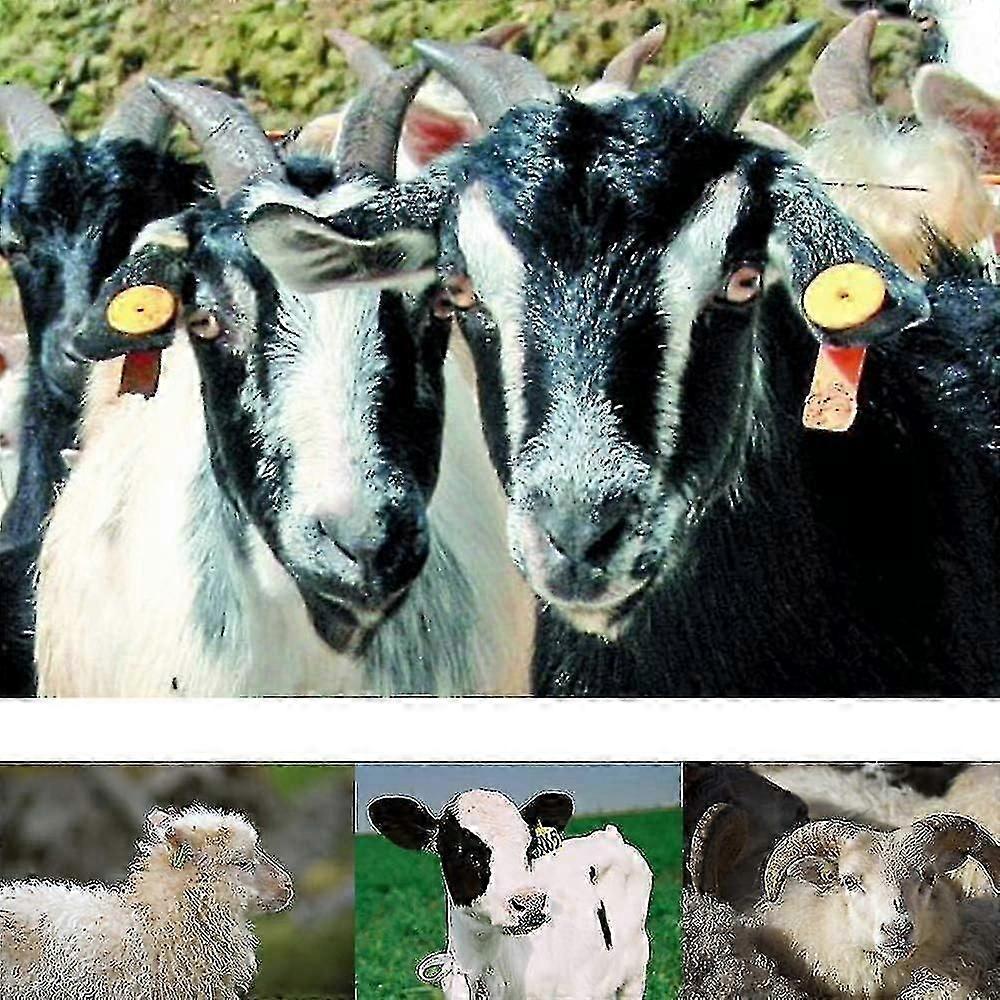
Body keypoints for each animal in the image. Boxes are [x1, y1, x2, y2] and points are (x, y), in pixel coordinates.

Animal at [368, 789, 652, 999]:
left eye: (529, 848)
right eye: (463, 852)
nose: (531, 903)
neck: (485, 970)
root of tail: (608, 834)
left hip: (635, 973)